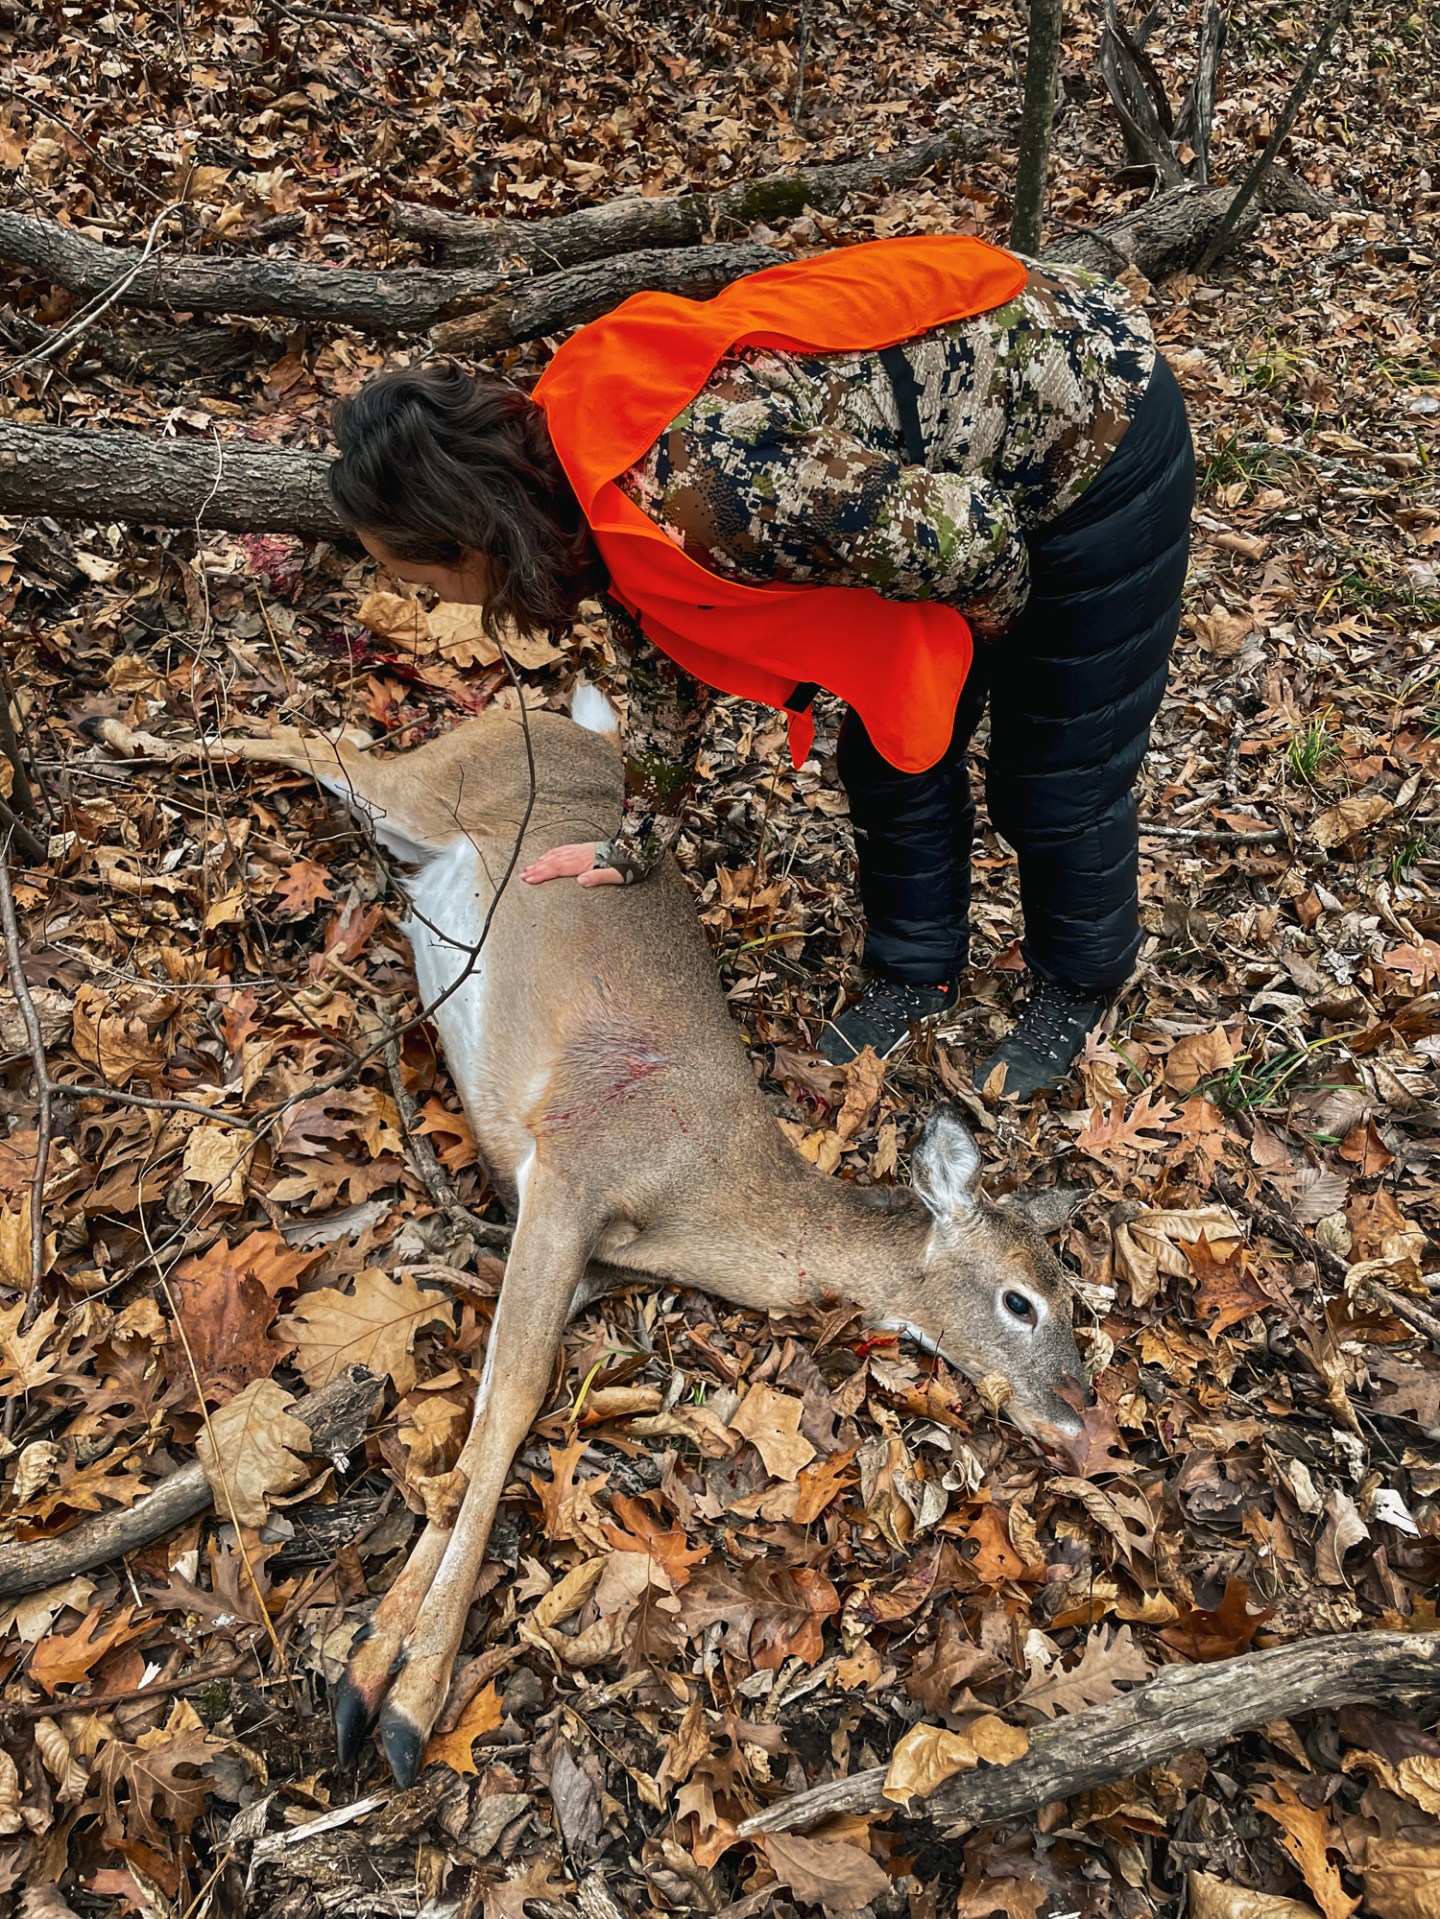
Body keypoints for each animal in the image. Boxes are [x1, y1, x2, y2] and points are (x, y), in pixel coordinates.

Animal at [204, 690, 1089, 1785]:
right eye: (1022, 1298)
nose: (1085, 1419)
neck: (705, 1201)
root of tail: (579, 722)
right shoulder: (574, 1164)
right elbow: (511, 1401)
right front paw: (402, 1697)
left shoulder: (586, 1253)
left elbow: (494, 1407)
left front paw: (376, 1671)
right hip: (433, 779)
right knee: (314, 741)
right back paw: (159, 738)